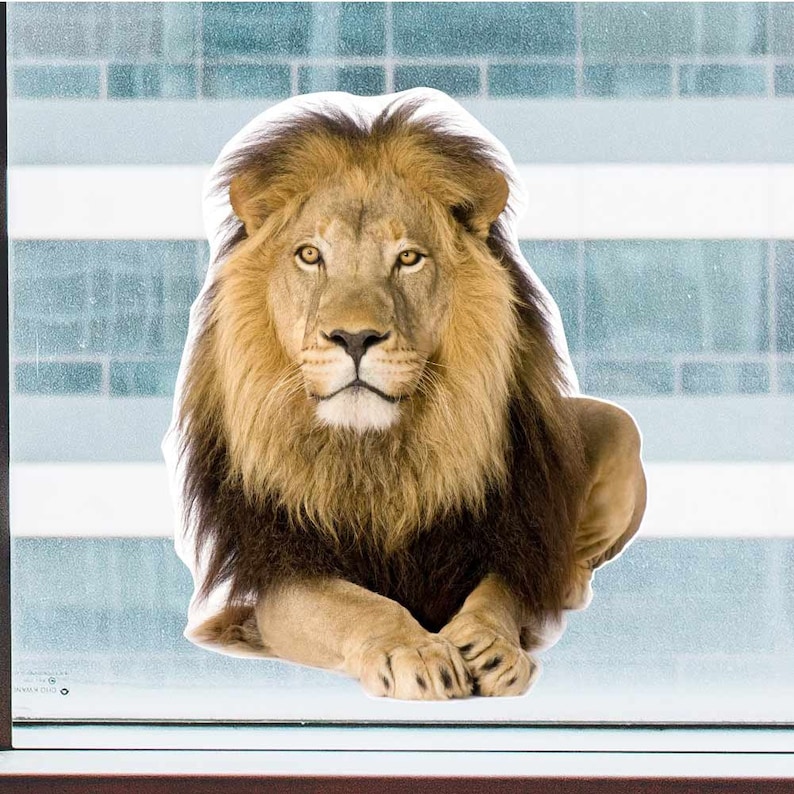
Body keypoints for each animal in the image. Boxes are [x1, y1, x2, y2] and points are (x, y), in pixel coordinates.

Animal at [172, 90, 646, 700]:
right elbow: (358, 605)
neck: (380, 457)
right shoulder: (283, 572)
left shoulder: (510, 539)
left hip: (619, 426)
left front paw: (490, 645)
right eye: (310, 255)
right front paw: (415, 650)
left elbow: (499, 595)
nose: (354, 338)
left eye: (408, 258)